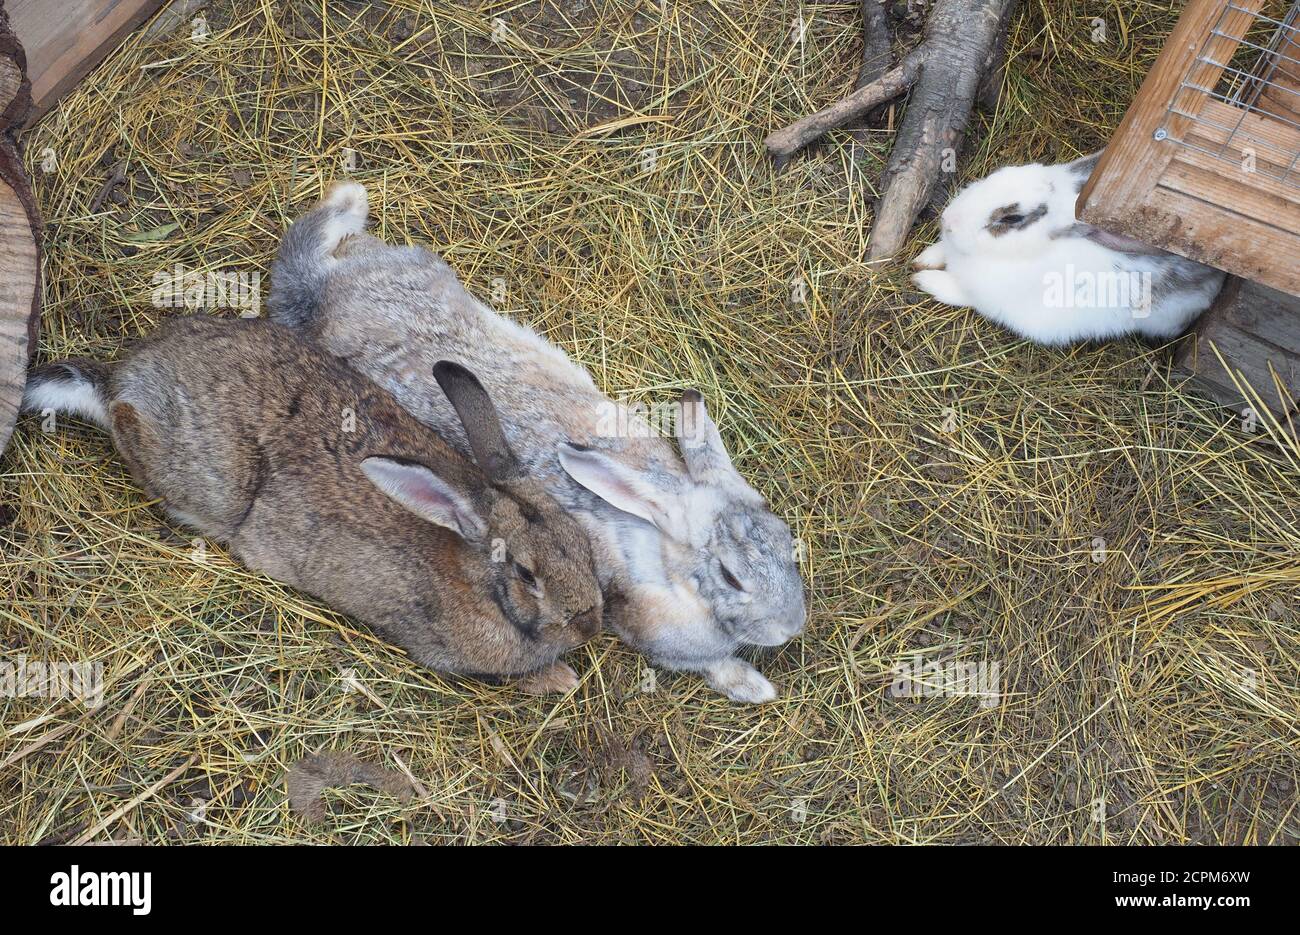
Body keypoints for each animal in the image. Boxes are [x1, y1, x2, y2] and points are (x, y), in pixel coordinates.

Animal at [20, 315, 603, 694]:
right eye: (526, 574)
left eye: (582, 544)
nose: (591, 626)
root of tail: (122, 378)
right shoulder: (441, 648)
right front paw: (562, 679)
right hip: (208, 478)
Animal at [266, 181, 805, 703]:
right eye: (731, 577)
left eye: (786, 538)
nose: (791, 628)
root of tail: (321, 293)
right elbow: (713, 664)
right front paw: (756, 688)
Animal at [911, 152, 1225, 346]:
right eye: (998, 173)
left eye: (1011, 219)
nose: (948, 220)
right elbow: (940, 252)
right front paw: (923, 259)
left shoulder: (994, 301)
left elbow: (960, 293)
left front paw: (924, 279)